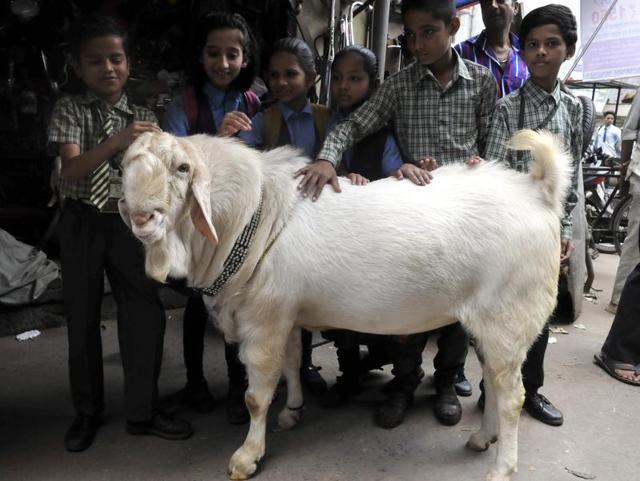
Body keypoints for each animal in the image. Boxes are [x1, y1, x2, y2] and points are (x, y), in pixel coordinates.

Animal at [118, 129, 571, 481]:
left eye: (182, 168)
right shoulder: (286, 314)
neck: (255, 212)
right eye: (123, 168)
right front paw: (293, 411)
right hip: (491, 324)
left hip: (508, 315)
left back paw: (502, 467)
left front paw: (247, 456)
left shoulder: (262, 320)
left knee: (512, 396)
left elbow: (256, 395)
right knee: (495, 384)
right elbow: (292, 359)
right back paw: (482, 438)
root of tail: (537, 190)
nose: (141, 217)